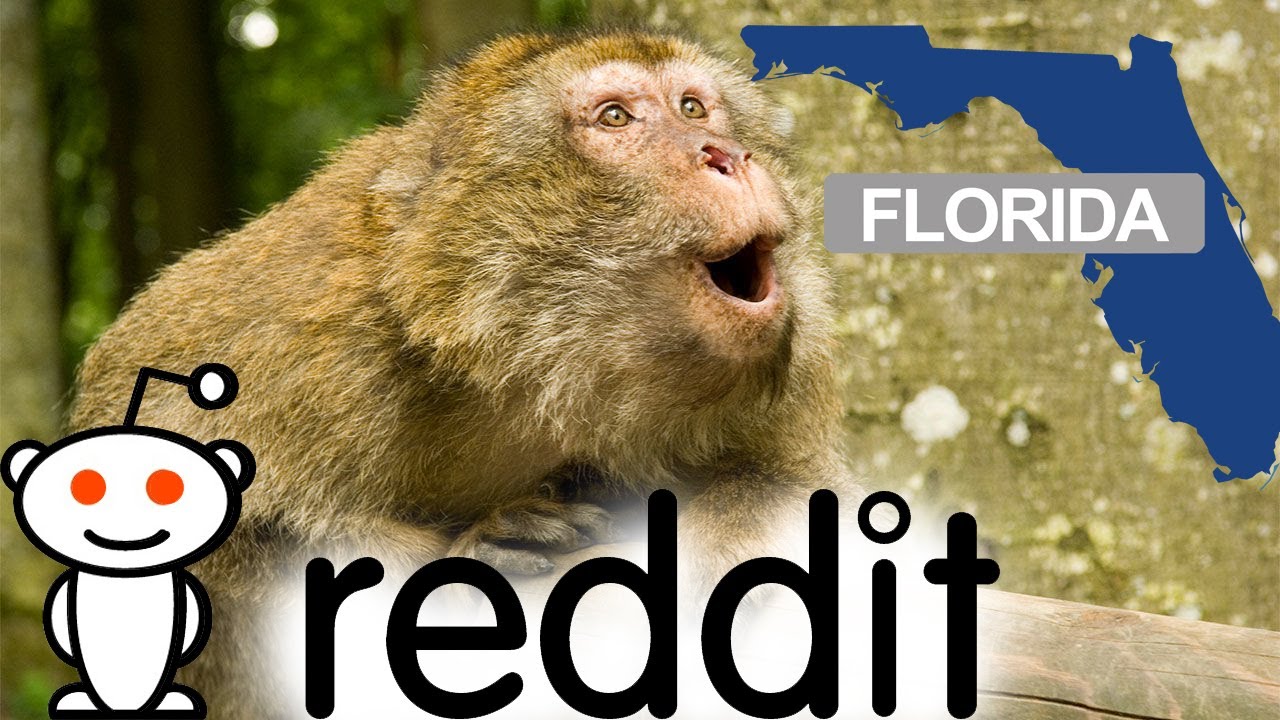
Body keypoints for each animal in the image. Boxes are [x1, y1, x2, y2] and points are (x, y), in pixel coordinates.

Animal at [68, 29, 857, 718]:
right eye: (615, 117)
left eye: (693, 108)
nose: (724, 153)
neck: (533, 367)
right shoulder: (299, 326)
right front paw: (472, 553)